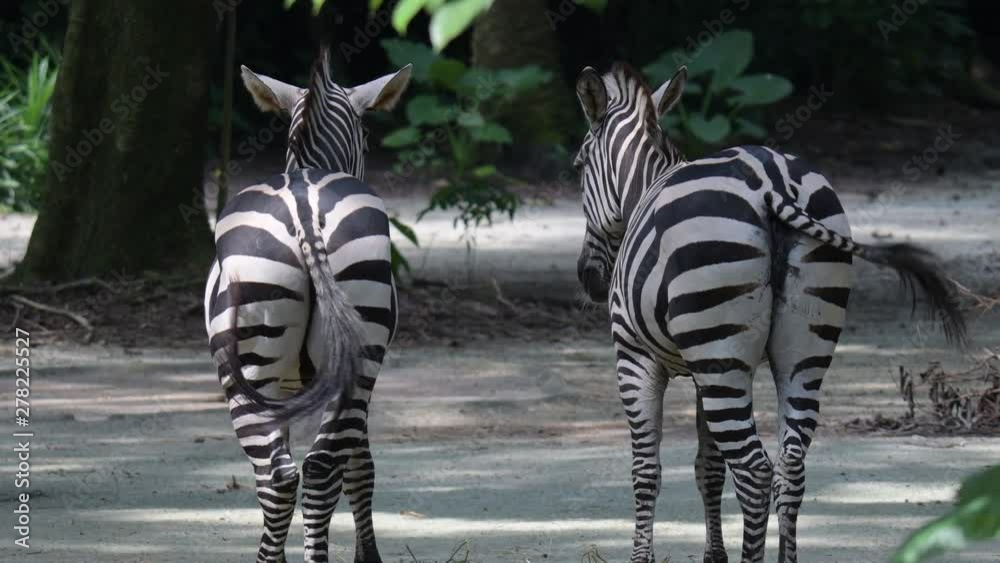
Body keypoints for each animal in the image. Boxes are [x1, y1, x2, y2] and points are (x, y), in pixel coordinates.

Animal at [204, 47, 411, 563]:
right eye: (367, 139)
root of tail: (302, 207)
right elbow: (360, 467)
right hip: (347, 358)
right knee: (314, 468)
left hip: (252, 365)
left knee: (283, 474)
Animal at [572, 63, 967, 563]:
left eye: (578, 167)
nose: (589, 279)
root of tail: (770, 182)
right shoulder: (702, 371)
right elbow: (707, 466)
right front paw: (714, 556)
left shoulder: (635, 358)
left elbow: (647, 471)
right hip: (799, 355)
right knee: (790, 467)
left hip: (722, 356)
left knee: (756, 471)